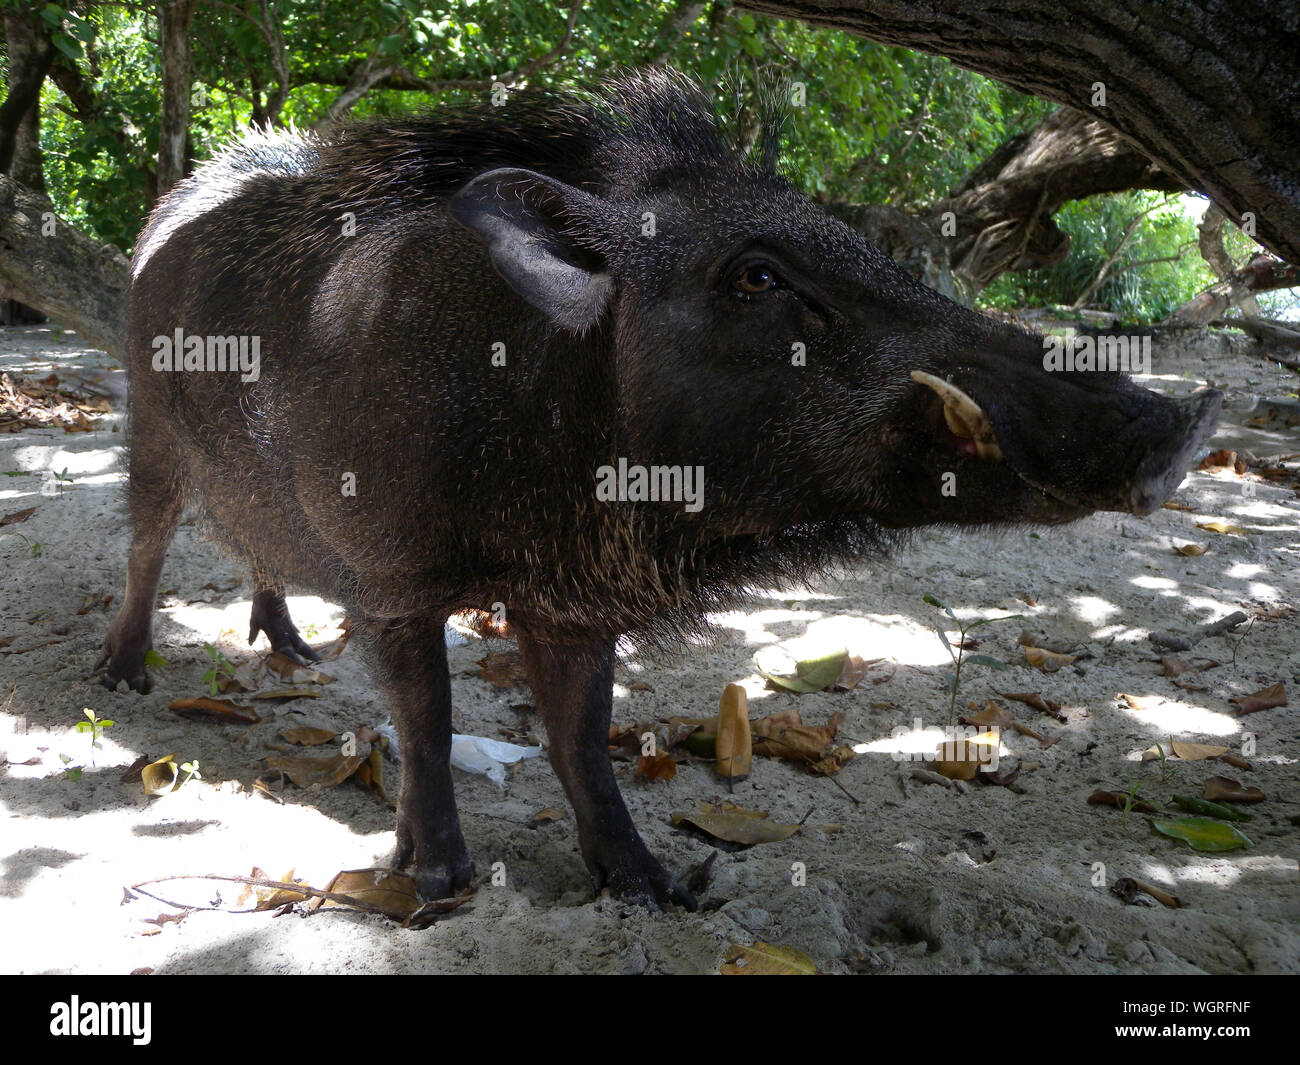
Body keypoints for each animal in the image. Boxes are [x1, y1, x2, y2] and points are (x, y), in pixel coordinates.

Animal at [99, 70, 1220, 909]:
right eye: (757, 275)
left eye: (873, 251)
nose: (1184, 423)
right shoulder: (393, 573)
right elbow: (427, 720)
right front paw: (437, 886)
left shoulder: (570, 606)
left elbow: (581, 737)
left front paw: (662, 889)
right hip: (145, 425)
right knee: (148, 539)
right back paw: (126, 678)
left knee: (259, 550)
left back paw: (289, 655)